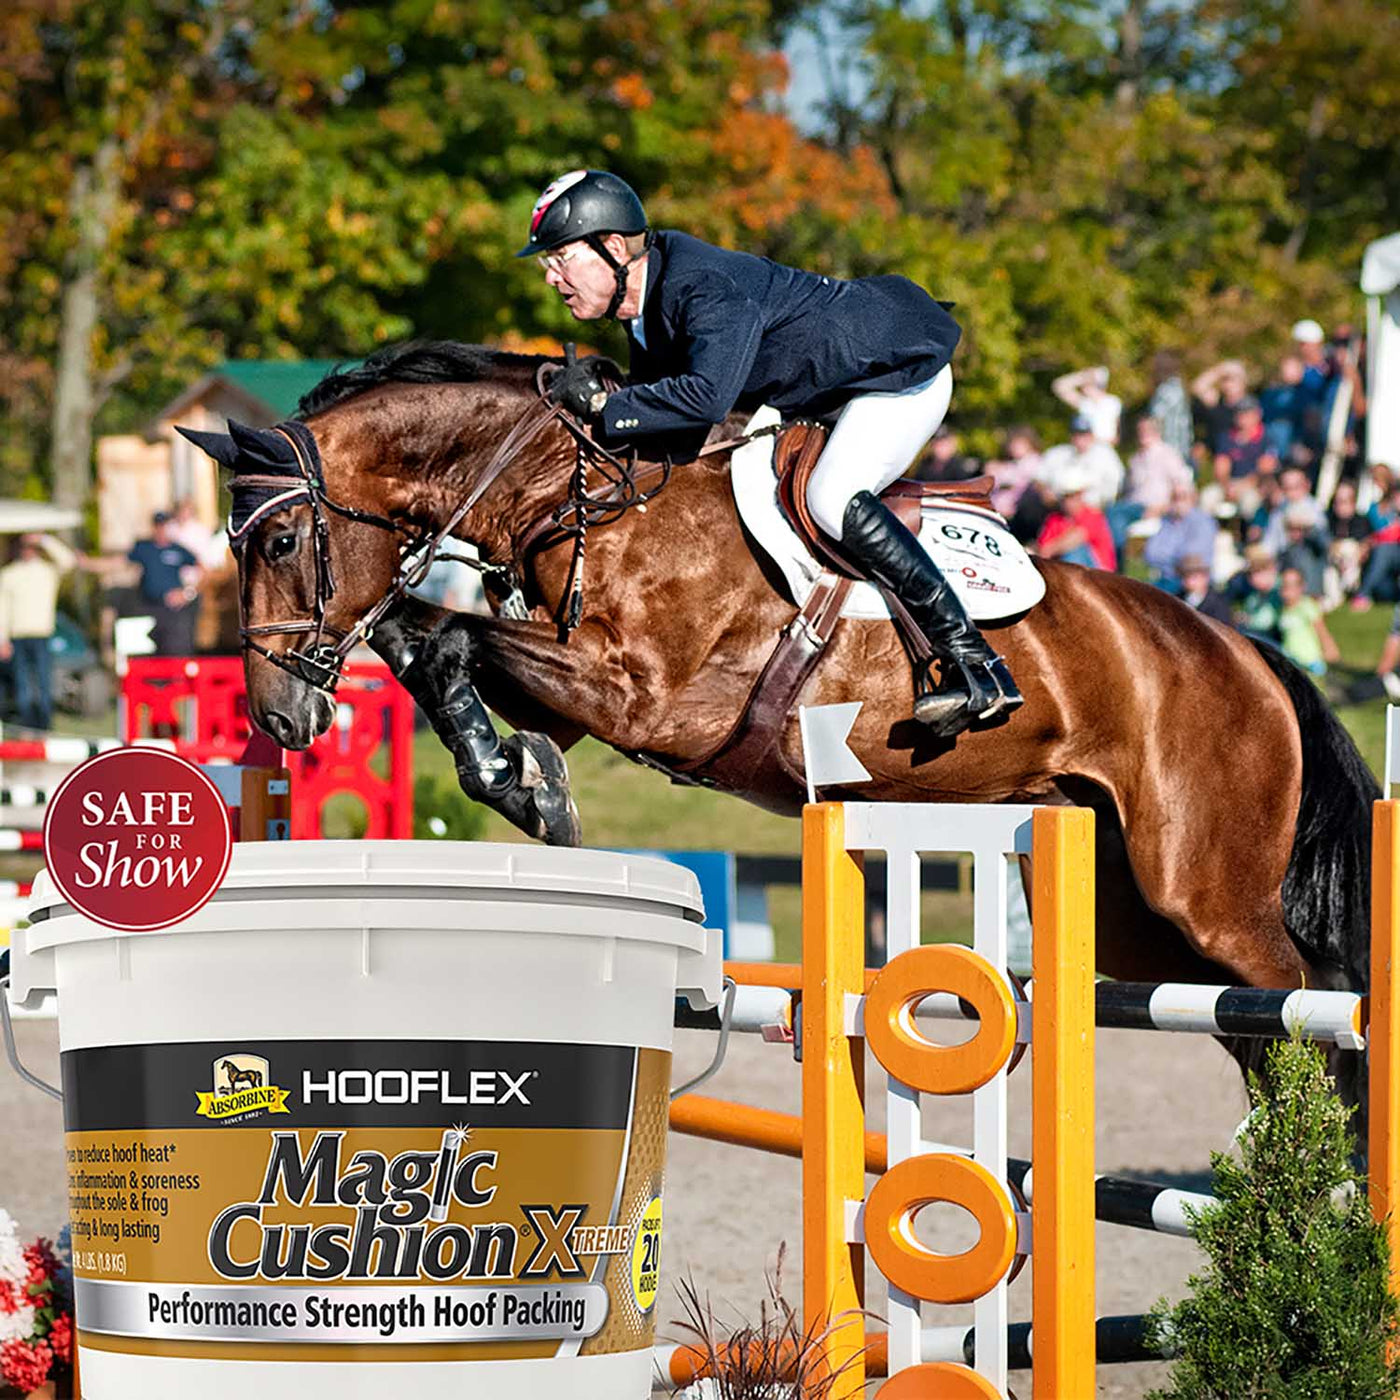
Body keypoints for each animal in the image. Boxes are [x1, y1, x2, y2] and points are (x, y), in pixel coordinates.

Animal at [182, 341, 1378, 1105]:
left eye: (278, 543)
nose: (280, 714)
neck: (573, 487)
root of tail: (1242, 651)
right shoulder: (576, 688)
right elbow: (441, 650)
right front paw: (517, 780)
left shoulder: (648, 696)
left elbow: (445, 640)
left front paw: (523, 784)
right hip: (1132, 909)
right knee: (1247, 1030)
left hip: (1208, 891)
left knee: (1309, 1009)